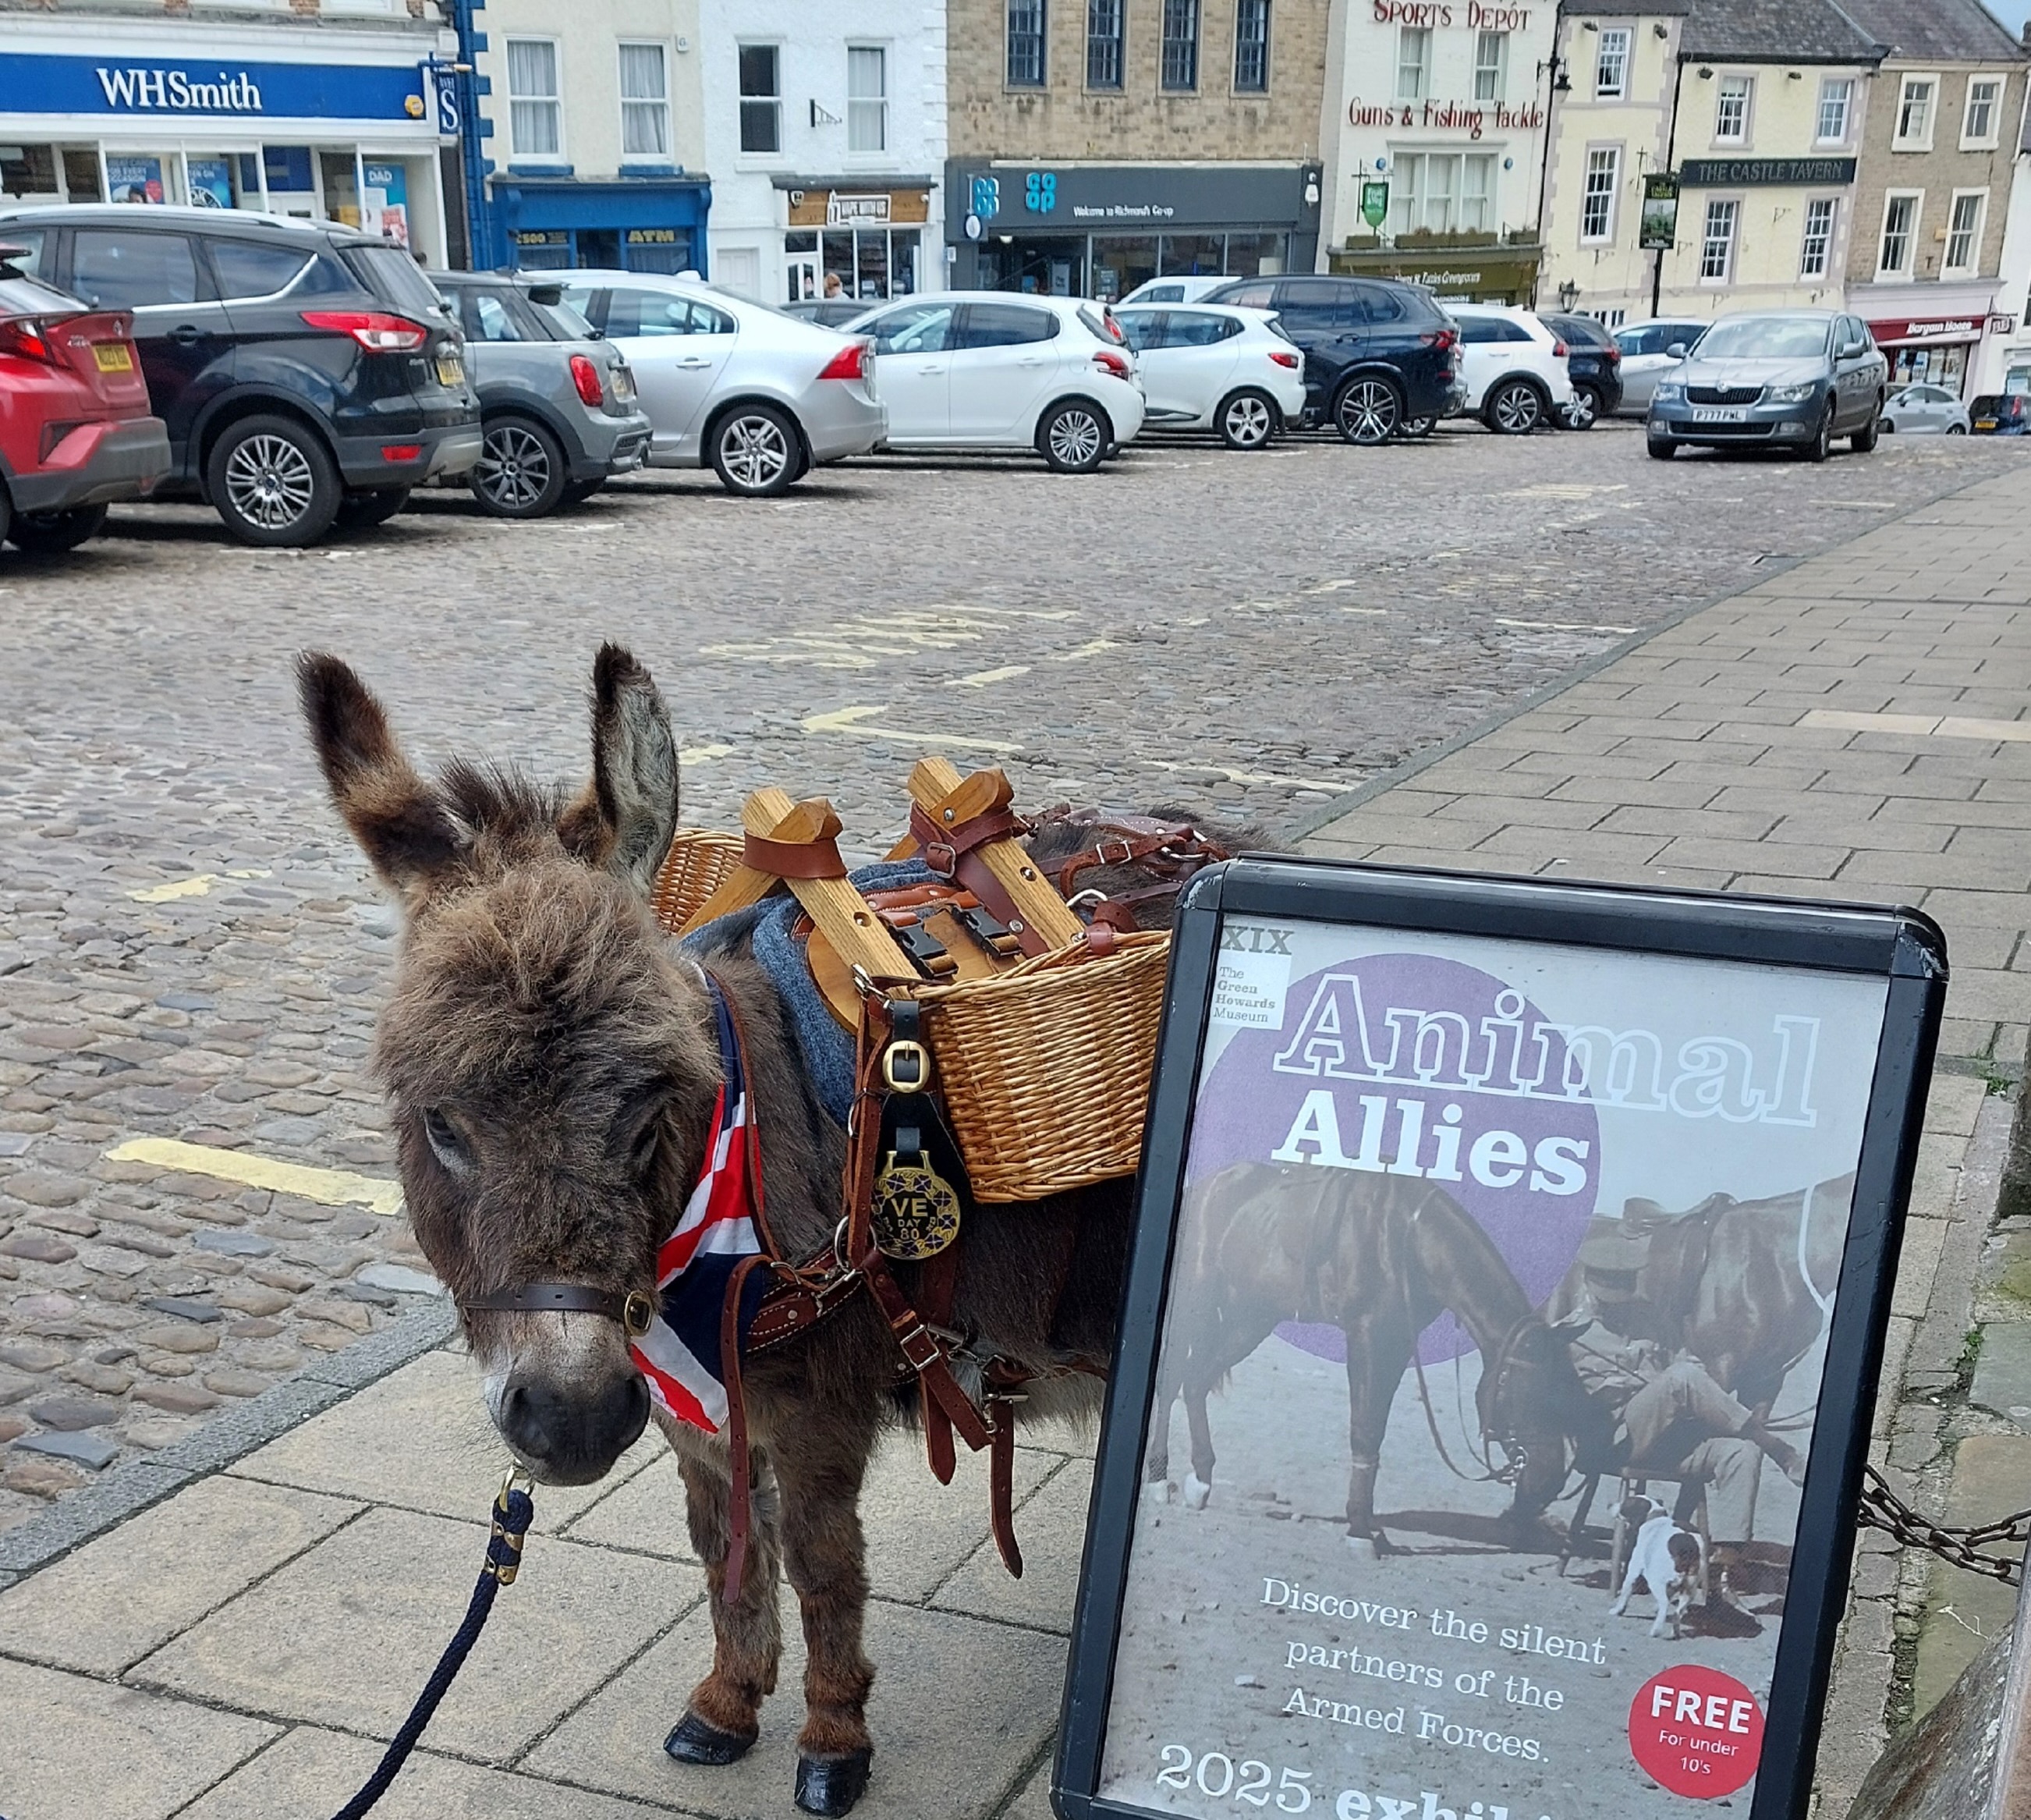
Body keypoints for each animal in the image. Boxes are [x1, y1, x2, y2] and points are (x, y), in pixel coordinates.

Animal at [299, 643, 1218, 1817]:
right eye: (439, 1124)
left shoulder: (820, 1405)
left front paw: (832, 1741)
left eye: (652, 1107)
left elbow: (824, 1565)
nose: (570, 1421)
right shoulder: (691, 1406)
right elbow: (723, 1546)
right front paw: (728, 1705)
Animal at [1142, 1160, 1608, 1555]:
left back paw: (1201, 1481)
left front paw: (1366, 1524)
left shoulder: (1396, 1342)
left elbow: (1376, 1430)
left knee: (1197, 1382)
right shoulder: (1366, 1334)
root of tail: (1209, 1186)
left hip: (1252, 1315)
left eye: (1566, 1394)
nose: (1547, 1482)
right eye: (1526, 1396)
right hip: (1199, 1302)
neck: (1407, 1239)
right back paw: (1160, 1478)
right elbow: (1363, 1431)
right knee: (1174, 1381)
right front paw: (1360, 1531)